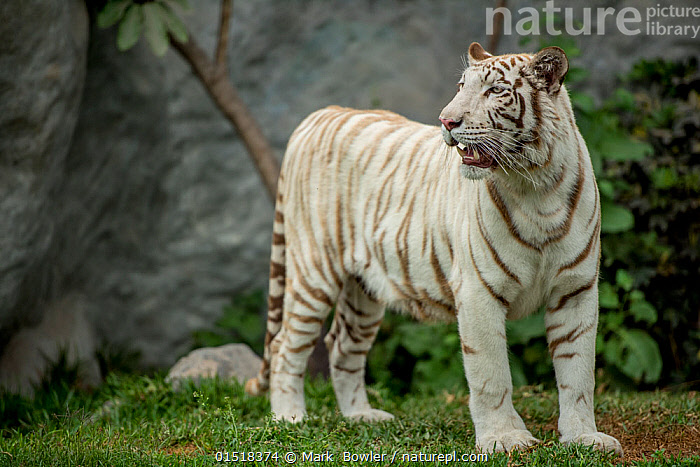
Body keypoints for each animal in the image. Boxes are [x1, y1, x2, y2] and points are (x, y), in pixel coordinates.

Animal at [245, 42, 622, 456]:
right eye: (461, 87)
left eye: (494, 91)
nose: (447, 121)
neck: (537, 187)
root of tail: (318, 115)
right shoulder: (479, 291)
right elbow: (491, 373)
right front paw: (504, 438)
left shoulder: (576, 289)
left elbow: (579, 373)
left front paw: (583, 437)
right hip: (315, 271)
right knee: (285, 345)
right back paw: (289, 419)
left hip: (364, 291)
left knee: (342, 345)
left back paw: (361, 416)